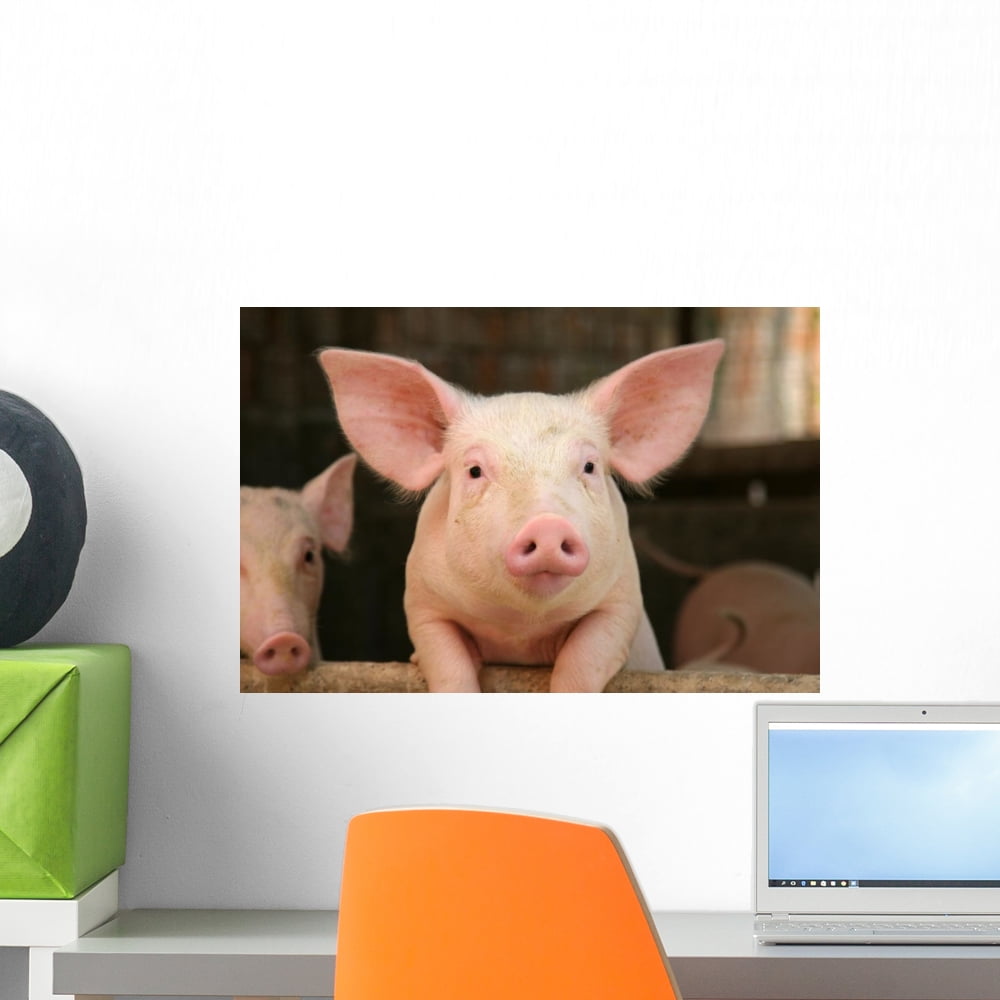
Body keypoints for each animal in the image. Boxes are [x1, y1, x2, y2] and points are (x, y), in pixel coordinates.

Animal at [317, 344, 723, 692]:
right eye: (475, 470)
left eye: (589, 466)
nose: (547, 525)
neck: (522, 629)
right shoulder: (422, 603)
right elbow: (447, 663)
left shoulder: (622, 602)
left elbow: (583, 659)